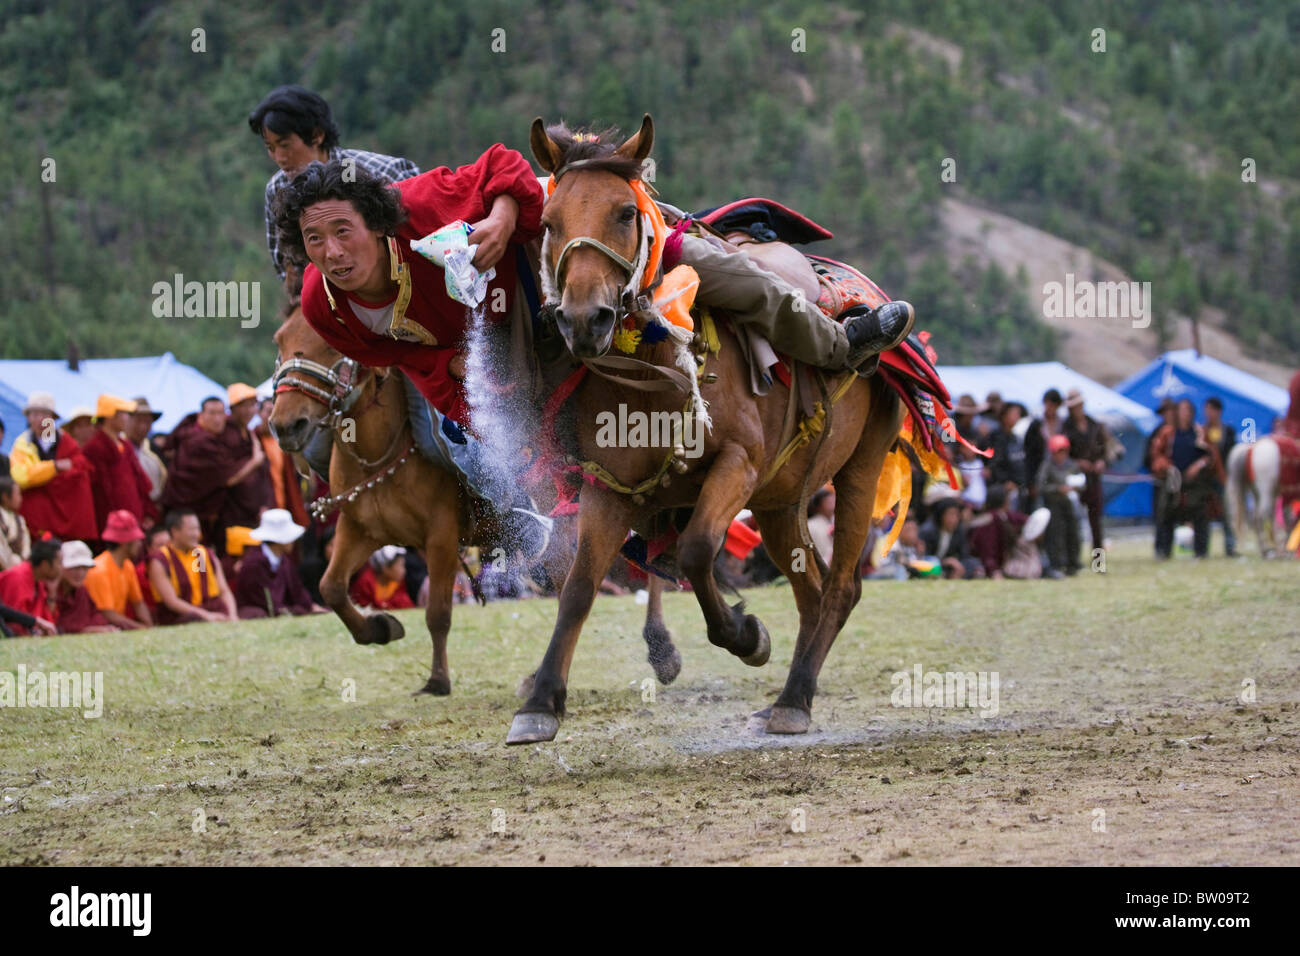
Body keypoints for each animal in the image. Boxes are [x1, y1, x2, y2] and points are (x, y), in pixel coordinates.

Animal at [269, 305, 684, 695]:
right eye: (280, 341)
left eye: (330, 347)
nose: (286, 425)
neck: (383, 452)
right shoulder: (359, 530)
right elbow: (332, 588)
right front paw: (380, 628)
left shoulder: (440, 537)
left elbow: (437, 613)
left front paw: (437, 680)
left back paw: (661, 651)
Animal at [506, 114, 909, 744]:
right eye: (549, 223)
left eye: (626, 213)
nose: (584, 320)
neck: (653, 371)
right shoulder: (610, 489)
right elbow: (577, 588)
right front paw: (542, 701)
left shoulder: (737, 465)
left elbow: (696, 552)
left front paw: (747, 636)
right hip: (779, 502)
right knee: (812, 590)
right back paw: (788, 697)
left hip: (860, 470)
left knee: (841, 587)